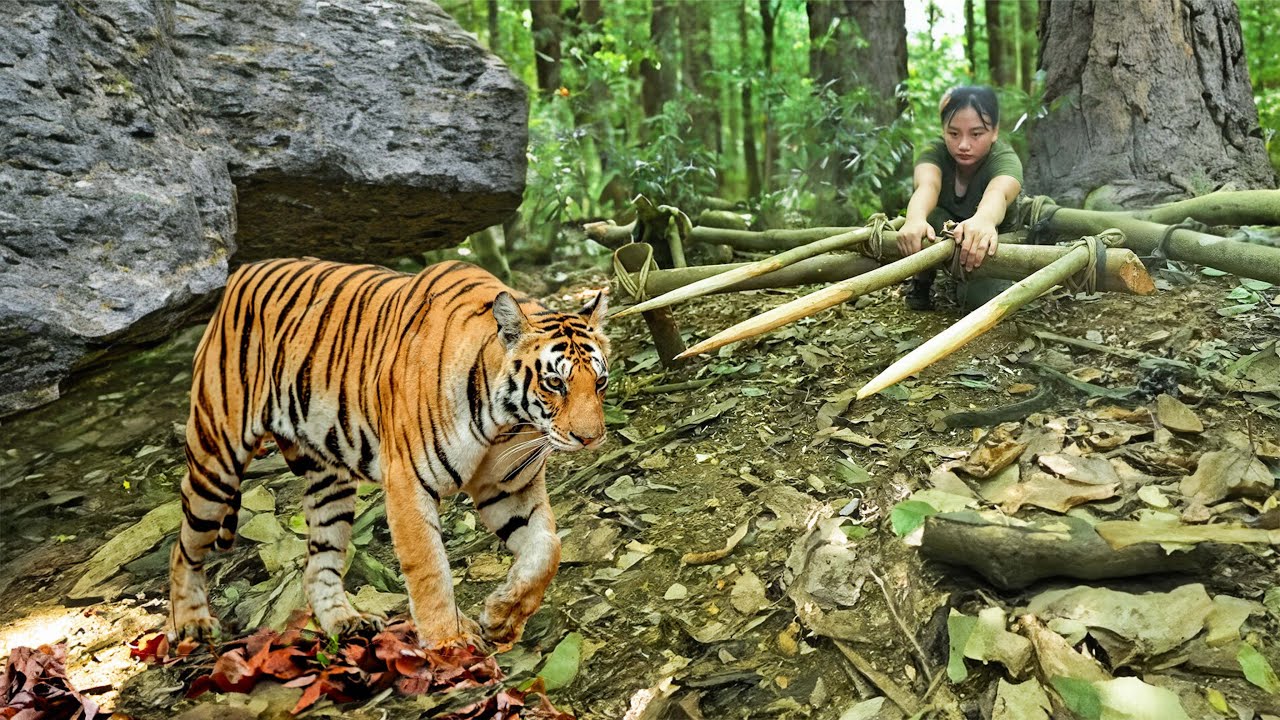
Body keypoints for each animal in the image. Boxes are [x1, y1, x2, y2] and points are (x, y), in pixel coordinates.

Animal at [167, 258, 609, 648]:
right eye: (554, 383)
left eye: (600, 382)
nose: (590, 438)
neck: (505, 422)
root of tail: (240, 273)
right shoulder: (408, 483)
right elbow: (429, 567)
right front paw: (448, 641)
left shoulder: (510, 488)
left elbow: (547, 549)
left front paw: (502, 616)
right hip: (215, 461)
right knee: (183, 546)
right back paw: (191, 623)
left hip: (330, 485)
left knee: (318, 565)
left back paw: (345, 621)